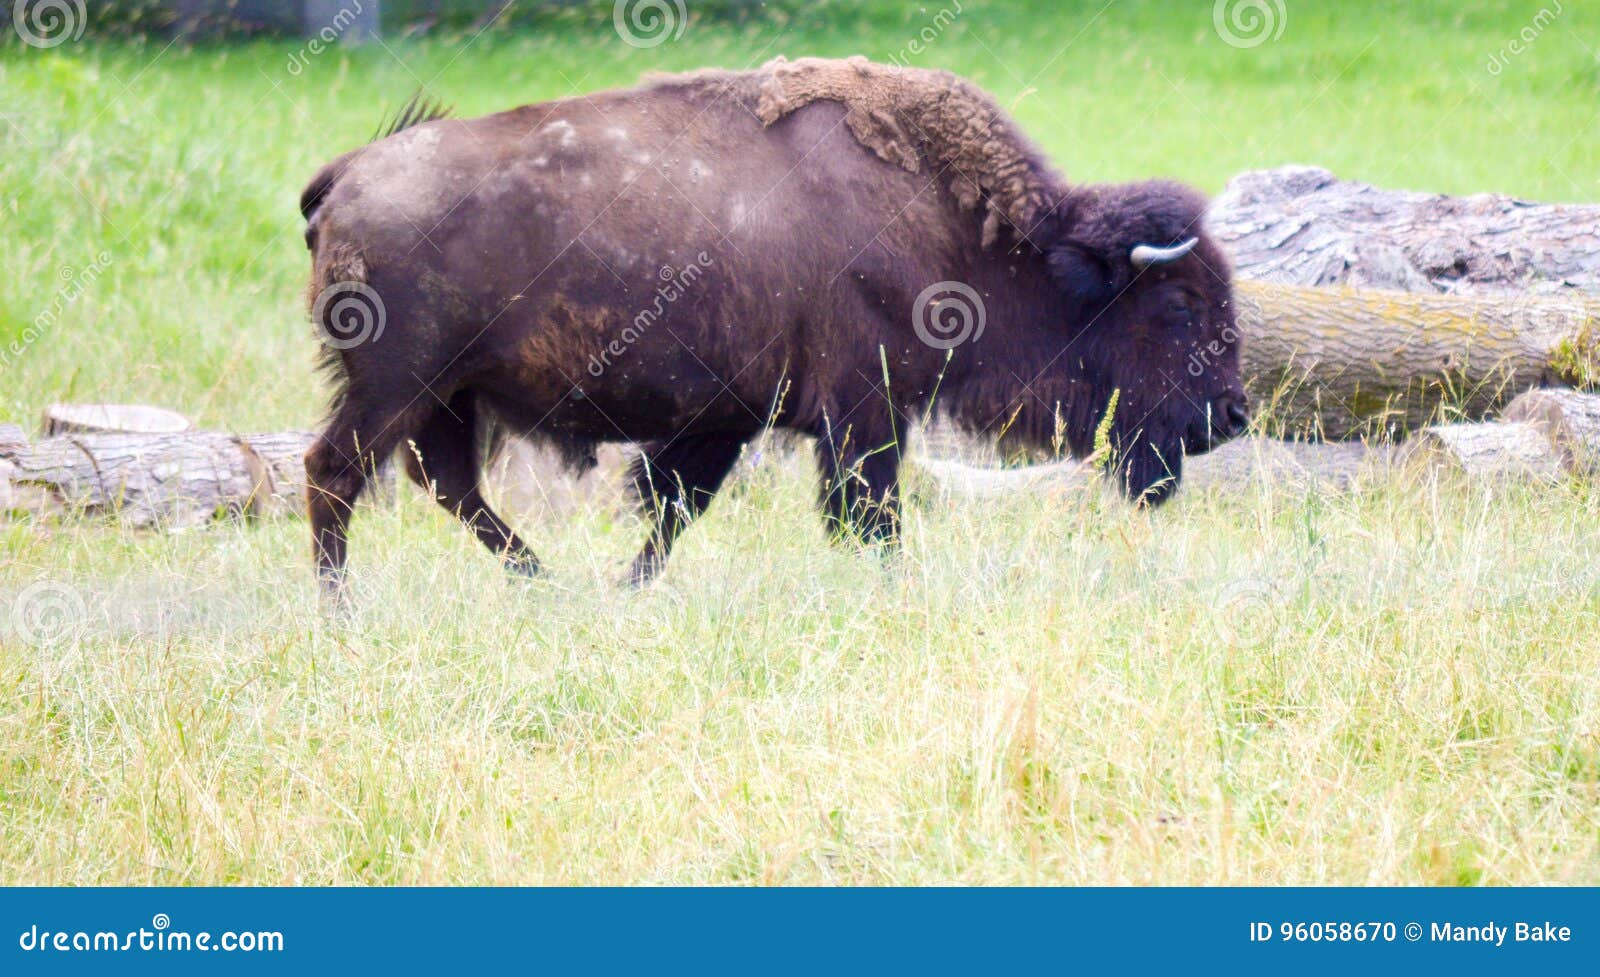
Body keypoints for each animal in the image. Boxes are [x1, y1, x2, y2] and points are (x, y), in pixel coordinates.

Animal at [299, 56, 1247, 597]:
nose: (1232, 414)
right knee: (334, 473)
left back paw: (544, 583)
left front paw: (627, 590)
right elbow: (868, 514)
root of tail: (346, 173)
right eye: (1178, 306)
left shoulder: (730, 416)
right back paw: (341, 611)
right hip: (396, 386)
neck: (963, 233)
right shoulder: (864, 409)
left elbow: (676, 506)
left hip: (446, 396)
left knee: (446, 484)